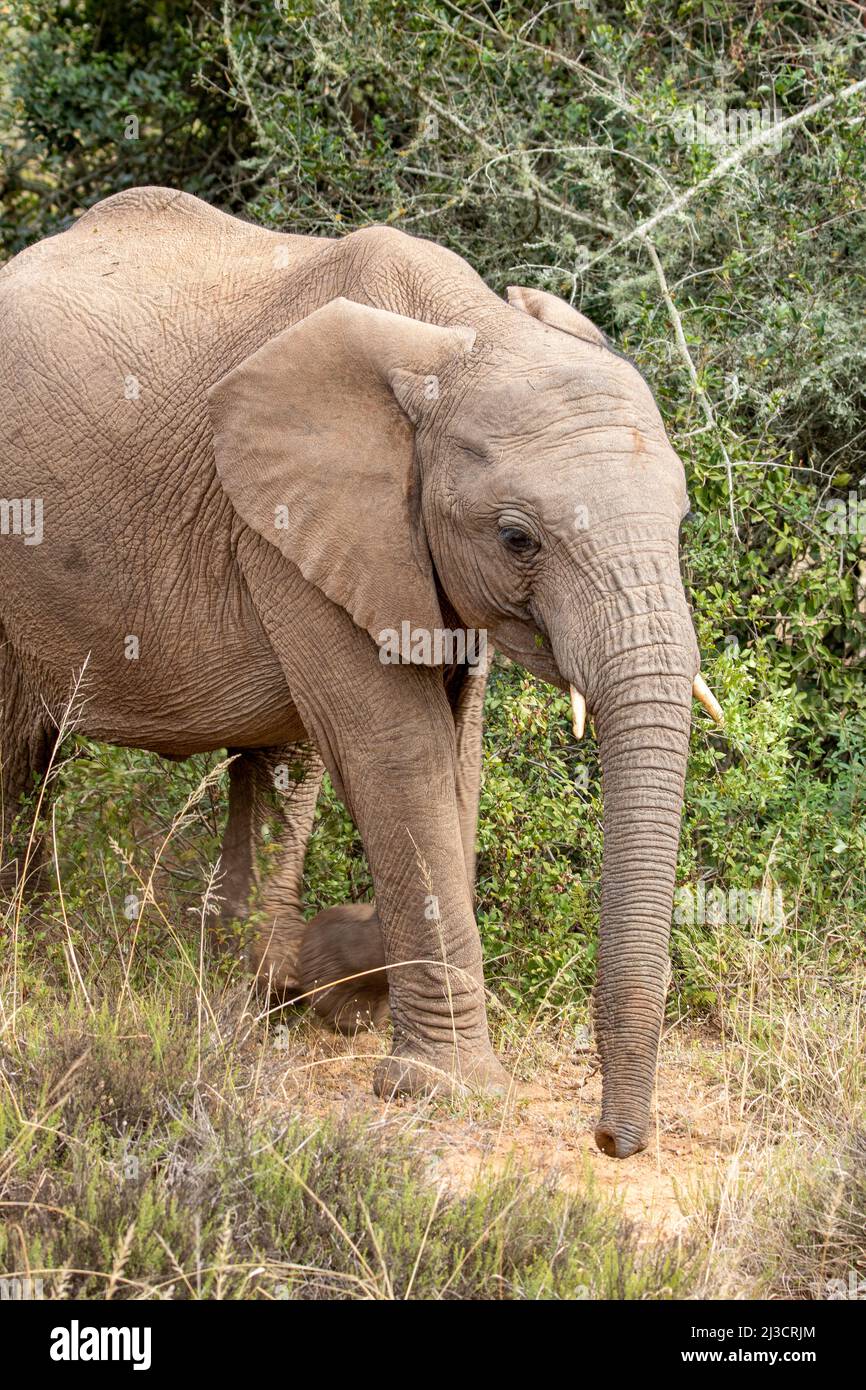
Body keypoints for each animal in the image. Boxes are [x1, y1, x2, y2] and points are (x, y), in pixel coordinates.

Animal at [0, 186, 723, 1158]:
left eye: (680, 526)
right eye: (517, 538)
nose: (615, 1140)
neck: (461, 336)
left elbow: (455, 764)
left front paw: (308, 973)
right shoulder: (284, 522)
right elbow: (398, 755)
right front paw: (439, 1085)